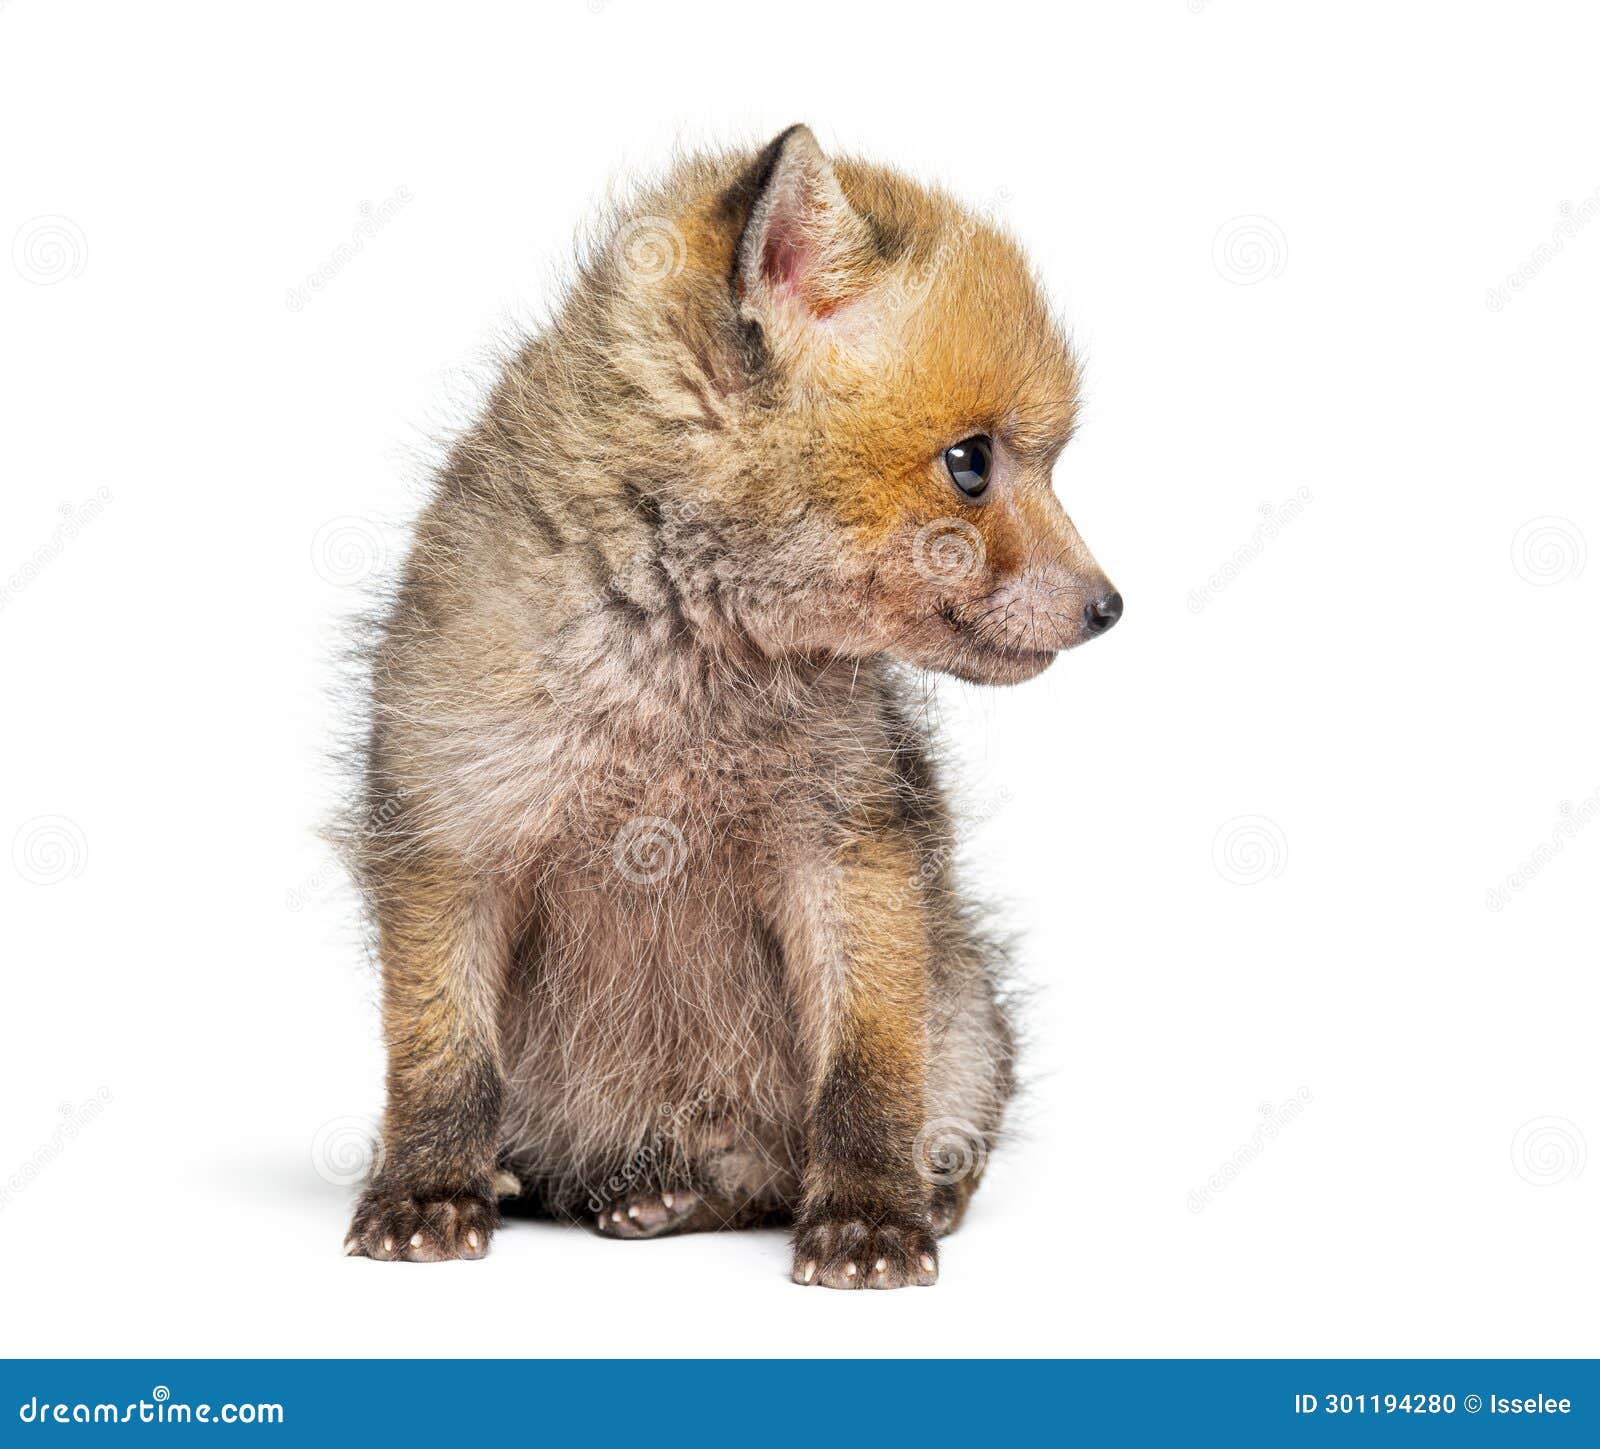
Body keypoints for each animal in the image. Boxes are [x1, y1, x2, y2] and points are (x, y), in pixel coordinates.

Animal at [340, 124, 1121, 1288]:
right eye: (971, 463)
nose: (1110, 607)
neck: (677, 684)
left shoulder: (848, 852)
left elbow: (865, 1078)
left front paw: (868, 1218)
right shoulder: (448, 838)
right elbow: (440, 1061)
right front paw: (426, 1191)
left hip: (964, 1028)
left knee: (783, 1167)